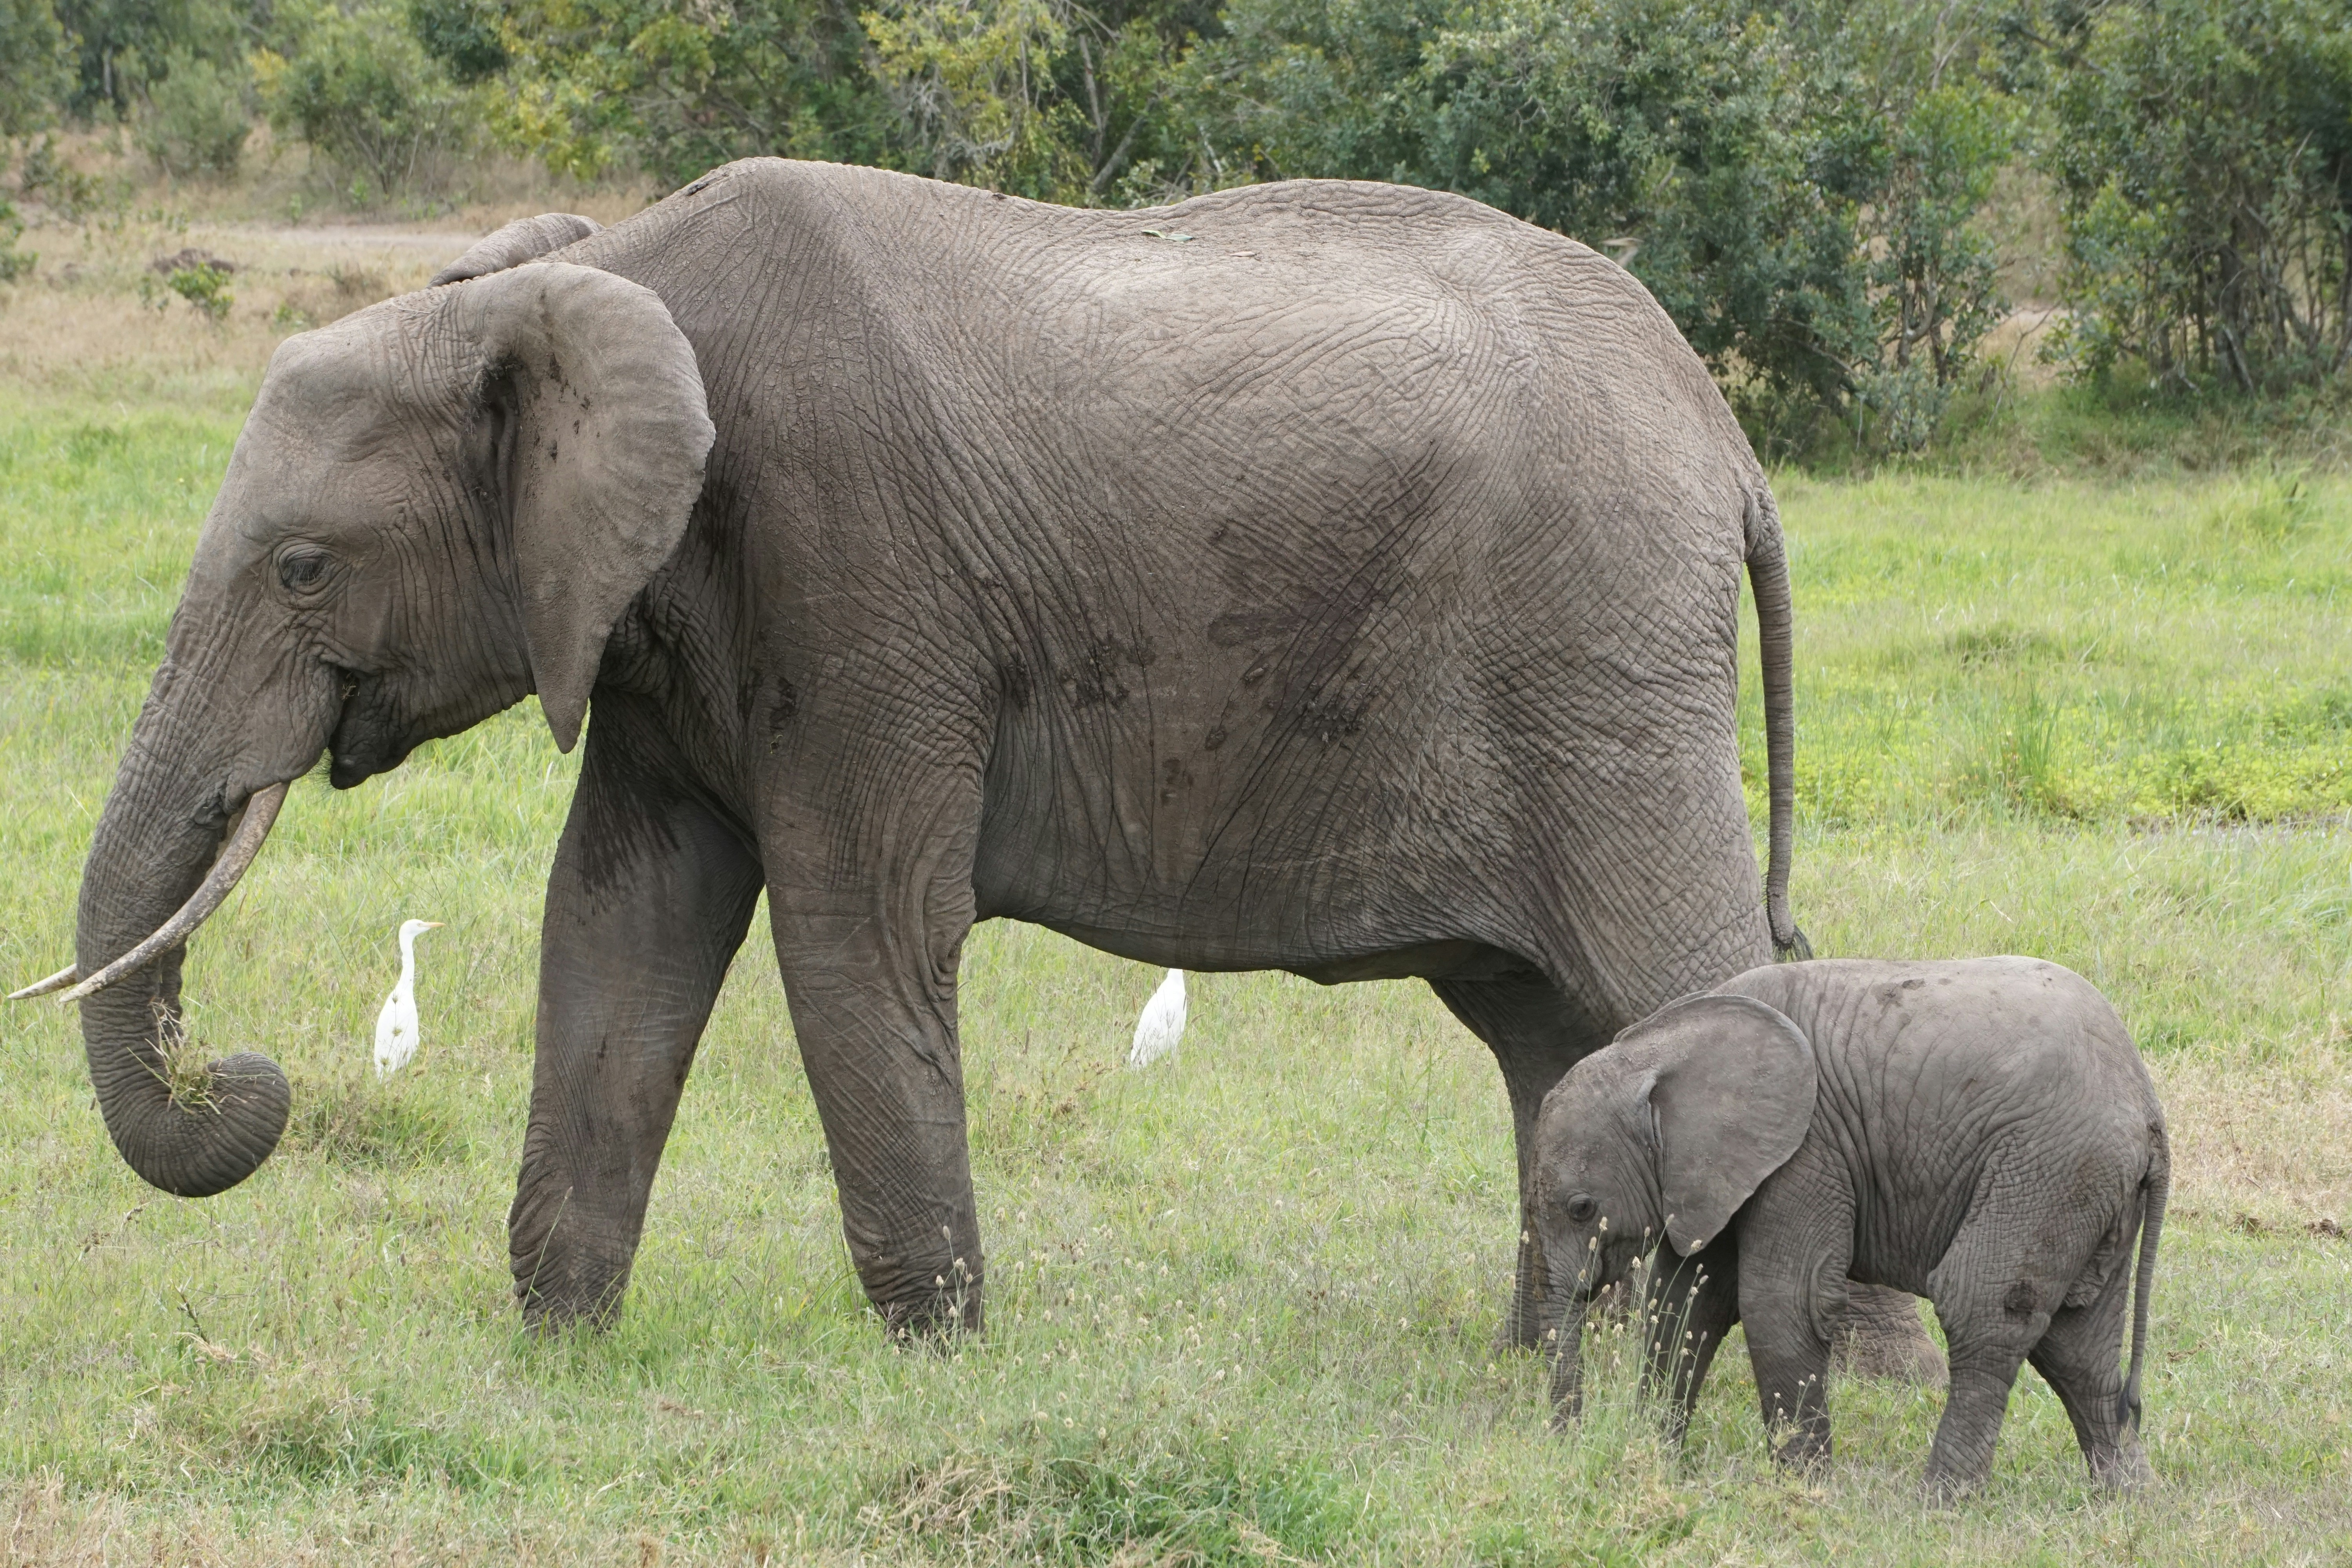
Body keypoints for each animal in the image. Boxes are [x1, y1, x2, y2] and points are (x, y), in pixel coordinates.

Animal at [31, 156, 1944, 1357]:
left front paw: (939, 1358)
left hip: (1595, 652)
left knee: (1673, 963)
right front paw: (560, 1348)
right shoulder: (653, 616)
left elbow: (849, 931)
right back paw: (1549, 1367)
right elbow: (618, 924)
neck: (601, 276)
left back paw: (1846, 1380)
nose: (239, 1074)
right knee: (1545, 1024)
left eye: (302, 568)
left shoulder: (851, 568)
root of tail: (1725, 439)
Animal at [1533, 956, 2169, 1497]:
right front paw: (1658, 1458)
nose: (1569, 1445)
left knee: (1982, 1309)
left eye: (1582, 1207)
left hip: (2047, 1167)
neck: (1656, 1049)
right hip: (2088, 1187)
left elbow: (1781, 1301)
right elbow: (1686, 1299)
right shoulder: (1719, 1173)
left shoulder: (1806, 1152)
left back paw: (1937, 1504)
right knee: (2079, 1346)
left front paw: (1804, 1491)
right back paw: (2128, 1503)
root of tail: (2147, 1105)